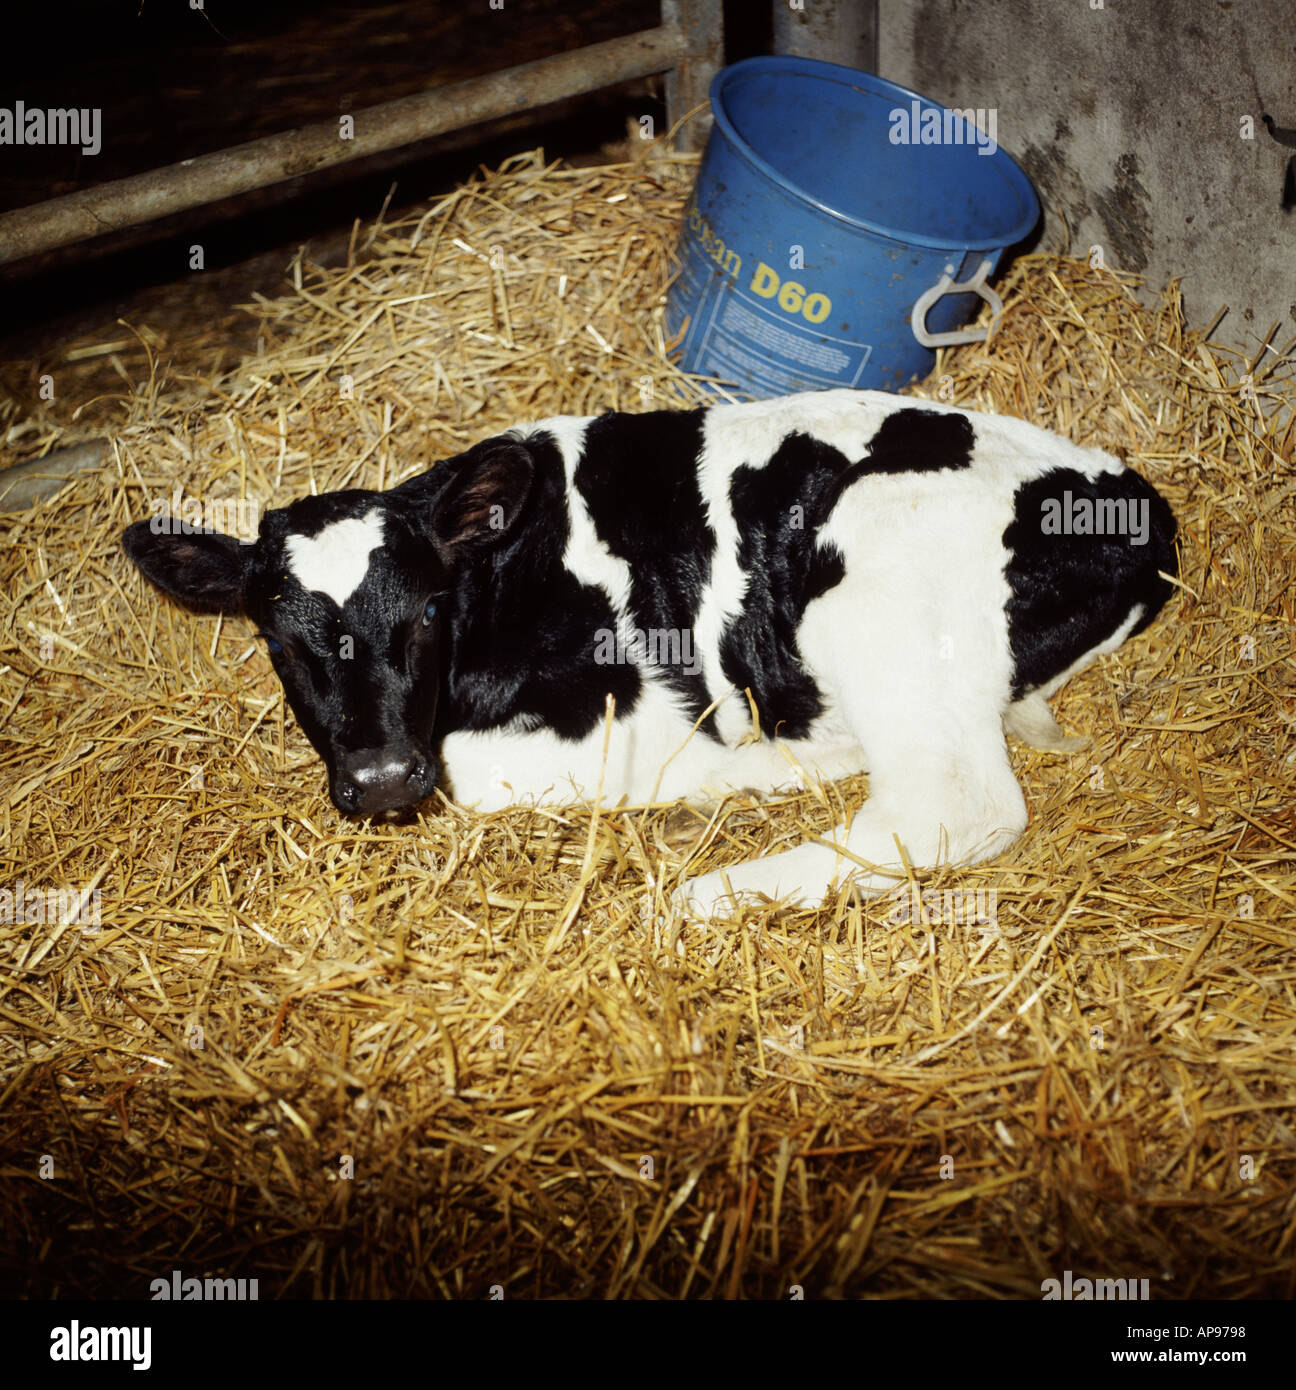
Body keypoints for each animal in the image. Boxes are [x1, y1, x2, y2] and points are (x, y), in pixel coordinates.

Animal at [122, 388, 1177, 917]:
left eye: (426, 609)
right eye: (279, 639)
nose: (382, 777)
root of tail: (1135, 499)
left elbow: (505, 777)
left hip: (877, 579)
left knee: (954, 802)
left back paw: (712, 888)